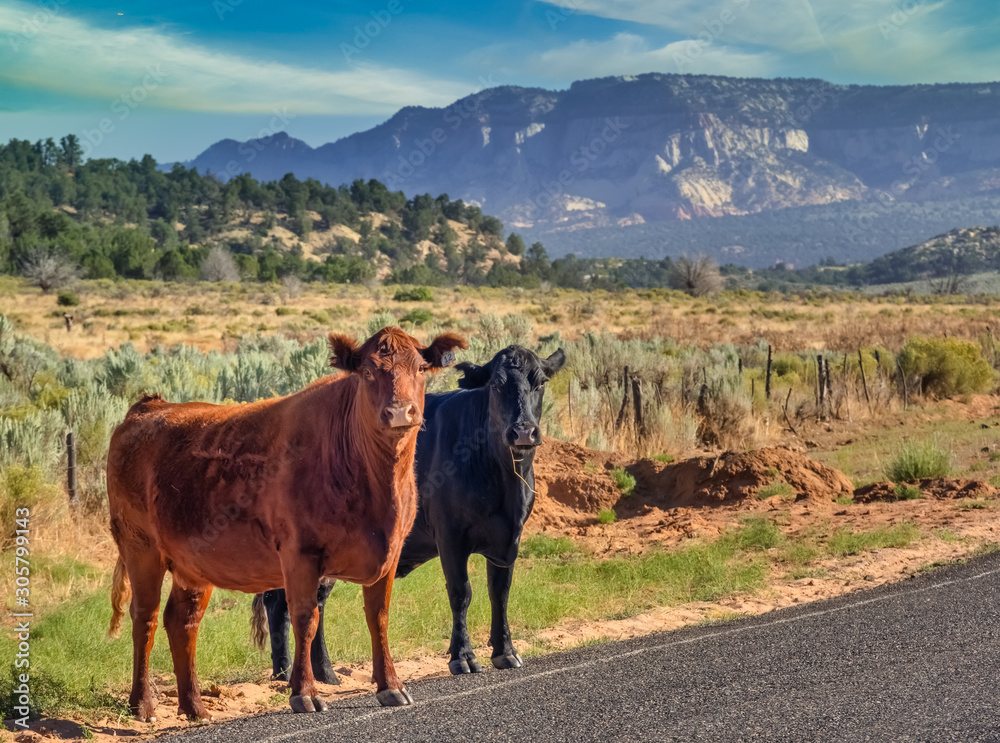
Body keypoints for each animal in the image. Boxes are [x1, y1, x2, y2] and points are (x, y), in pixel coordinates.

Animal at [106, 326, 466, 721]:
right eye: (368, 372)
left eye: (420, 368)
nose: (400, 411)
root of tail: (149, 406)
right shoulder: (300, 553)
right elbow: (306, 620)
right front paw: (304, 692)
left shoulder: (390, 550)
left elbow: (378, 616)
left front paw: (391, 686)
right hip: (140, 547)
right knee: (146, 617)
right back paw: (143, 704)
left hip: (192, 563)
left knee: (182, 621)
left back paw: (195, 706)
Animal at [252, 344, 566, 680]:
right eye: (496, 385)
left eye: (541, 382)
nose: (523, 432)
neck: (503, 479)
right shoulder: (450, 536)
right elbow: (461, 592)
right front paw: (462, 657)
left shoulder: (509, 538)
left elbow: (500, 592)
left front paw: (505, 651)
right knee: (281, 601)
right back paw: (285, 672)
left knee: (314, 601)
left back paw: (325, 673)